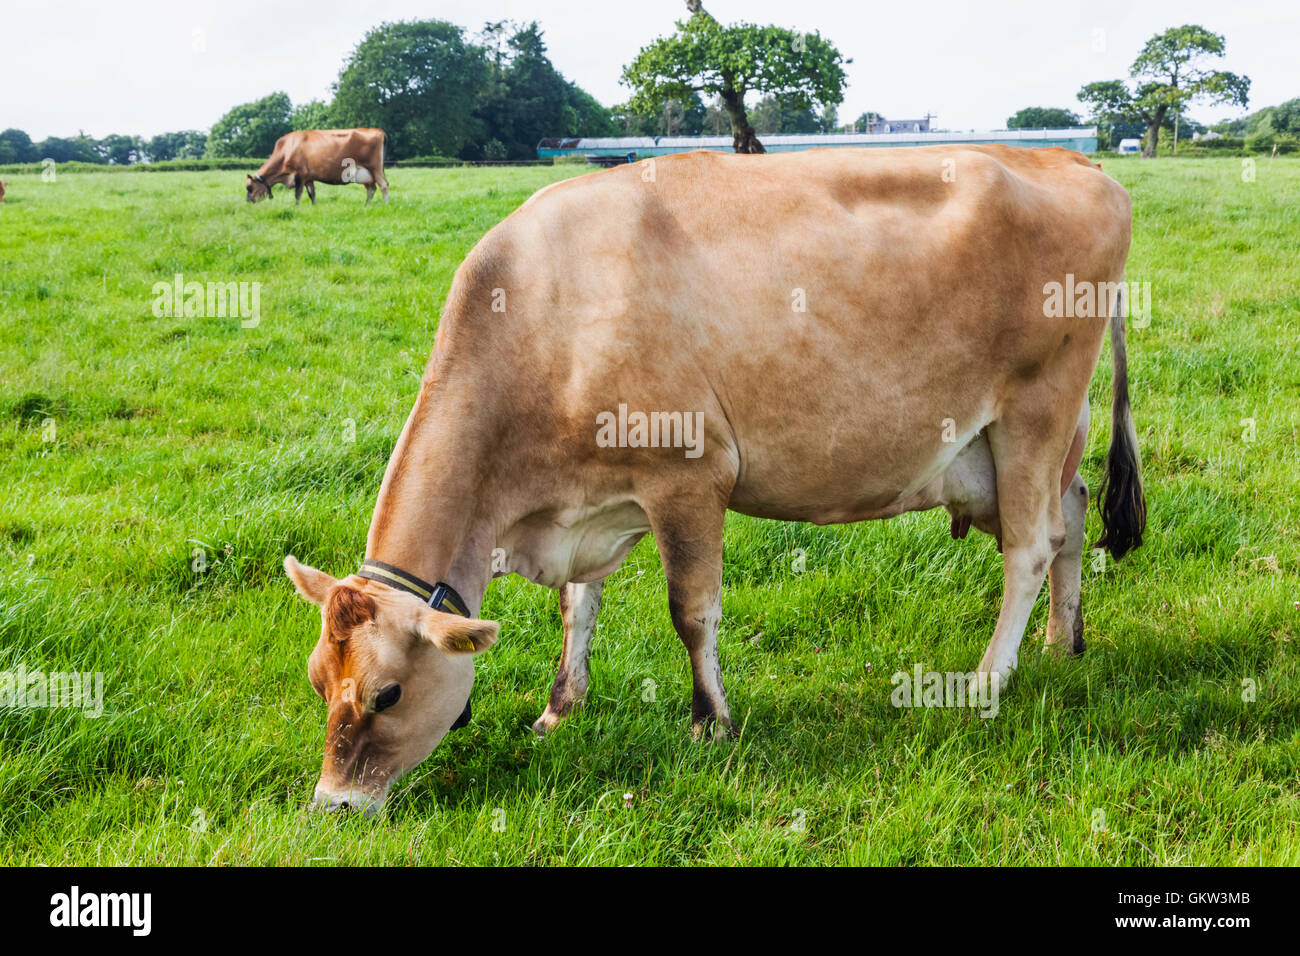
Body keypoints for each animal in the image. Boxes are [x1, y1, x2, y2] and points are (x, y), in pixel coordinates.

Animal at [245, 128, 388, 205]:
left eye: (249, 188)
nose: (248, 202)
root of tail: (377, 131)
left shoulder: (300, 175)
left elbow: (298, 194)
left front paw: (296, 208)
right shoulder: (309, 178)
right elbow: (312, 194)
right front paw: (314, 207)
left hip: (375, 168)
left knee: (383, 185)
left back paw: (385, 204)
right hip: (365, 174)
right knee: (371, 189)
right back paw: (366, 205)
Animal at [284, 145, 1144, 814]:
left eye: (388, 694)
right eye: (318, 680)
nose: (333, 805)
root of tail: (1074, 160)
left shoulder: (689, 478)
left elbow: (691, 613)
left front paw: (711, 723)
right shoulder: (590, 498)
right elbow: (577, 609)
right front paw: (561, 708)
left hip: (1034, 407)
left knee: (1029, 548)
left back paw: (986, 683)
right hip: (1026, 441)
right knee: (1071, 514)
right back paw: (1063, 643)